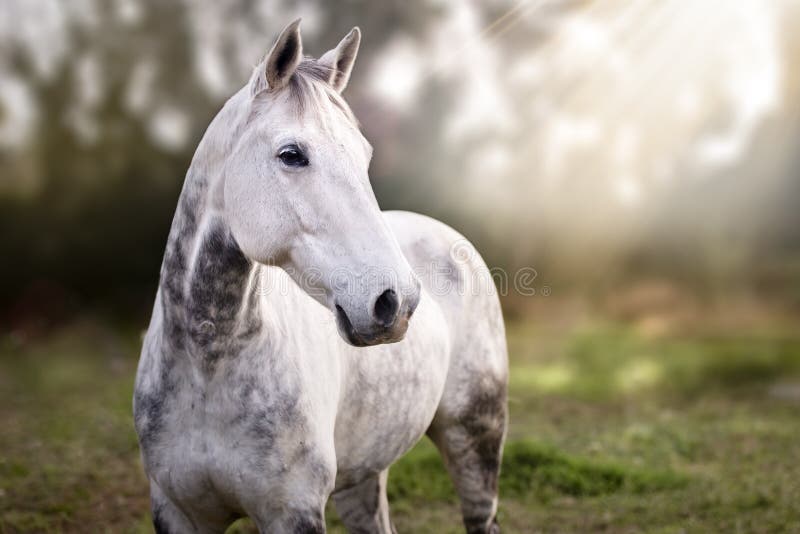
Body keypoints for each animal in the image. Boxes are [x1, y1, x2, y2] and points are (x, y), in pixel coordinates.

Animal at [133, 19, 508, 534]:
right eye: (291, 154)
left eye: (364, 155)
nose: (396, 302)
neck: (206, 367)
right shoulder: (176, 510)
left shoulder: (293, 513)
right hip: (364, 472)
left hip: (474, 439)